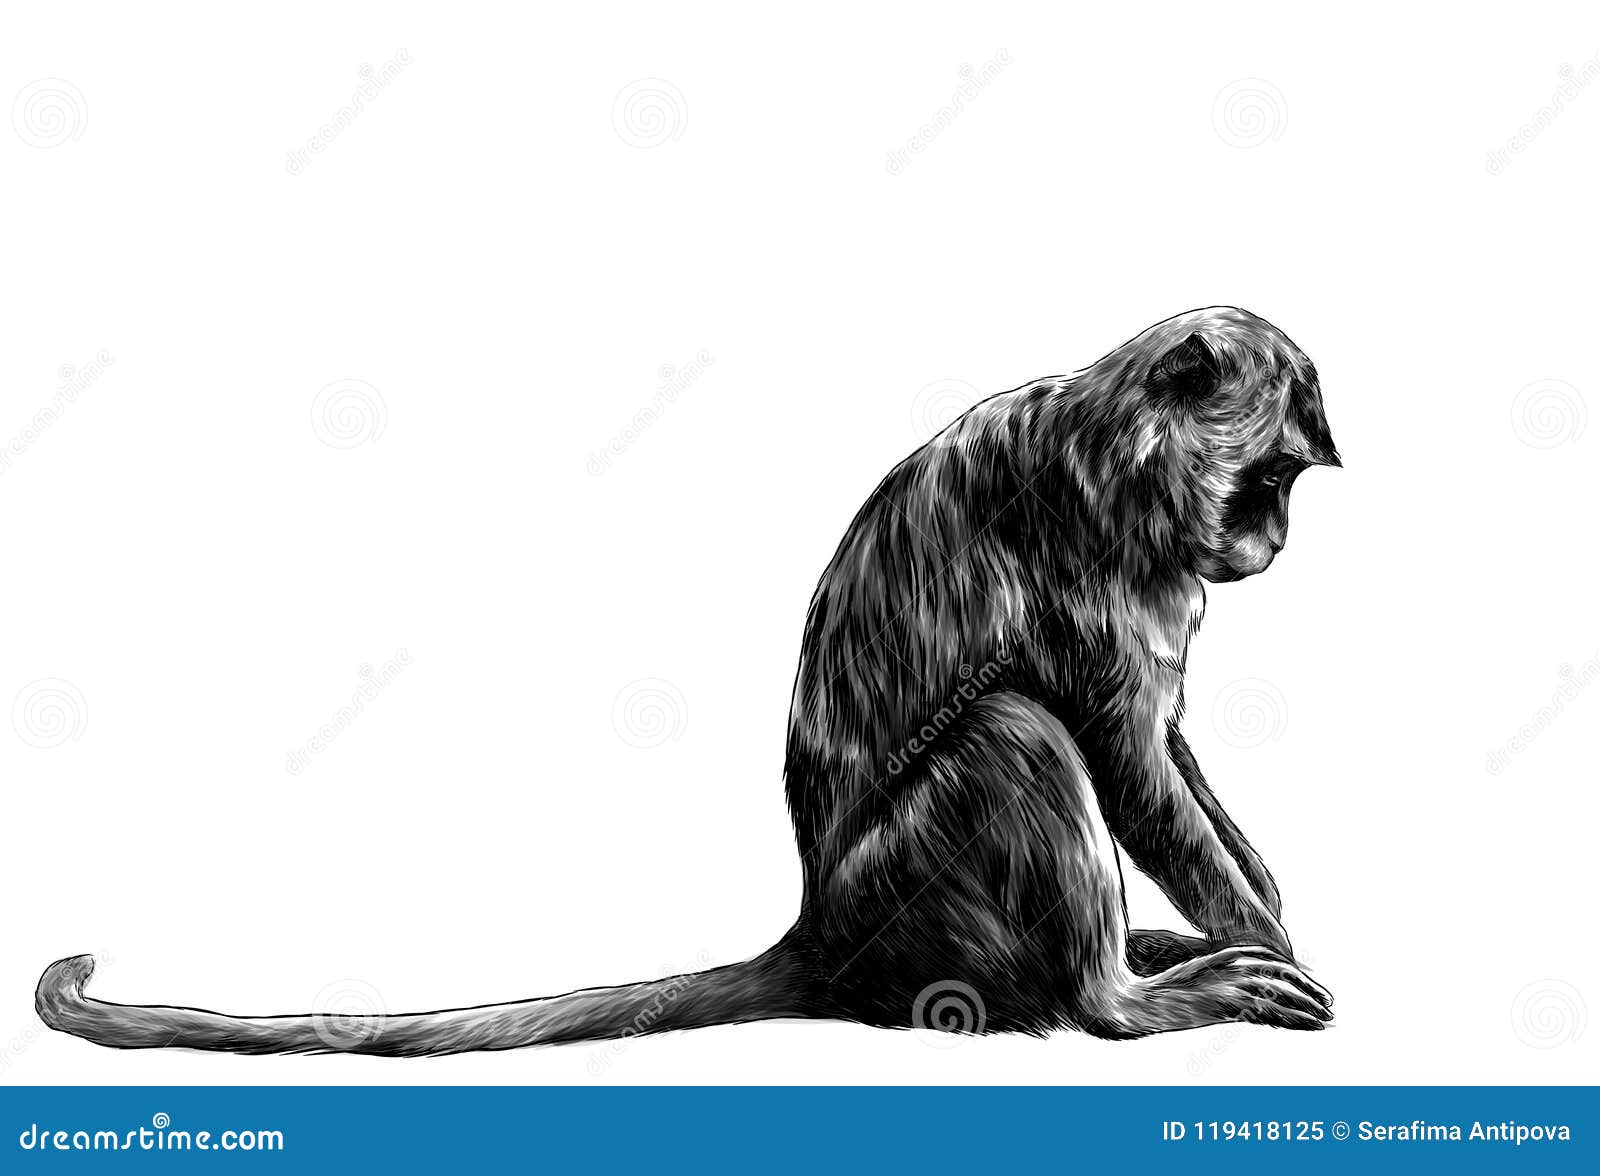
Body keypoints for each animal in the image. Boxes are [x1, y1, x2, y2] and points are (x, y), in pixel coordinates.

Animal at [37, 305, 1339, 1055]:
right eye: (1268, 479)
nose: (1274, 541)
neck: (1120, 445)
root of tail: (822, 935)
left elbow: (1162, 745)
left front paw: (1264, 893)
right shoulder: (1089, 547)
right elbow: (1116, 748)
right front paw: (1267, 932)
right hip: (914, 895)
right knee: (1012, 731)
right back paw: (1121, 999)